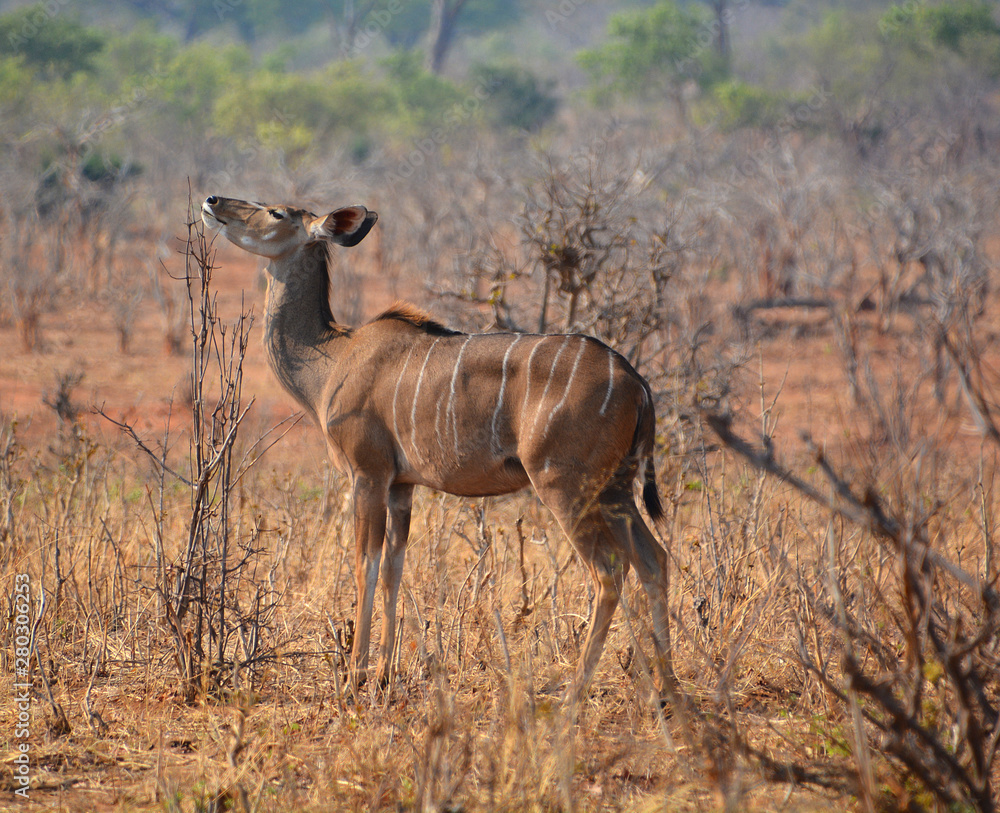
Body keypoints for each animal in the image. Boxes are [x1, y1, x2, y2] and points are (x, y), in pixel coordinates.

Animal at [201, 195, 676, 700]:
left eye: (274, 212)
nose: (212, 201)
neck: (332, 358)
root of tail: (635, 380)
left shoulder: (368, 475)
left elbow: (365, 565)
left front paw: (355, 678)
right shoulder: (401, 486)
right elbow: (394, 566)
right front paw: (384, 673)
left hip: (566, 488)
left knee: (609, 571)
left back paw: (573, 695)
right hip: (616, 490)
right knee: (654, 560)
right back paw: (668, 688)